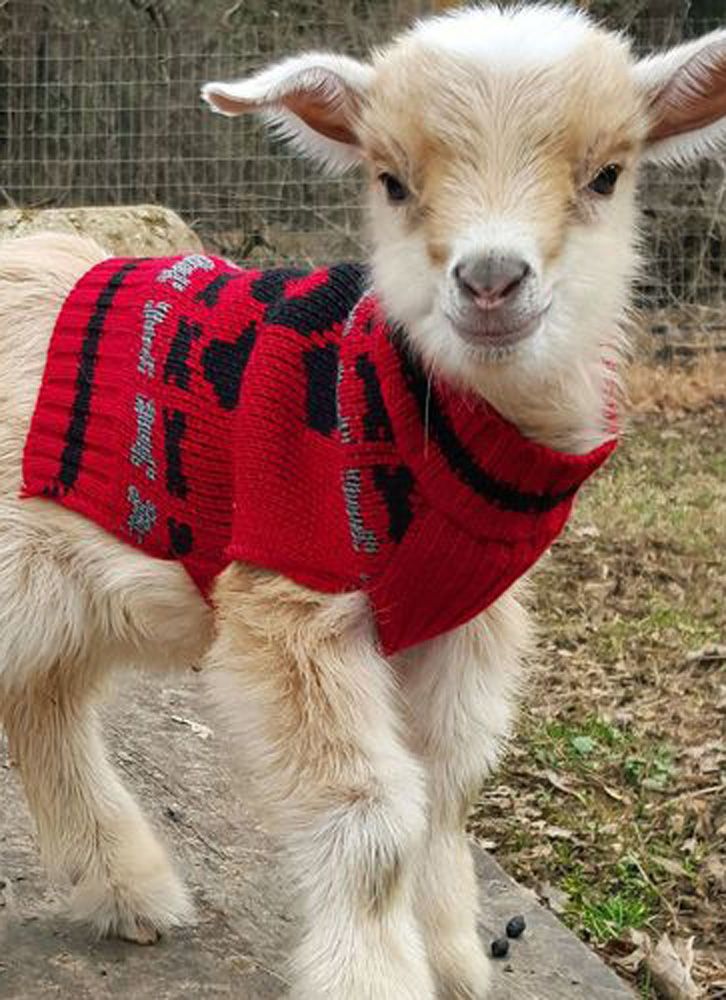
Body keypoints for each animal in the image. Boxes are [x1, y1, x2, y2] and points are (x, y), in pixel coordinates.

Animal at [1, 6, 724, 999]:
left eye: (607, 175)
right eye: (392, 180)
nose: (490, 280)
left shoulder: (462, 624)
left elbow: (447, 792)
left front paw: (454, 960)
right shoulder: (292, 598)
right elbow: (374, 816)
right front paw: (376, 977)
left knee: (41, 702)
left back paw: (128, 890)